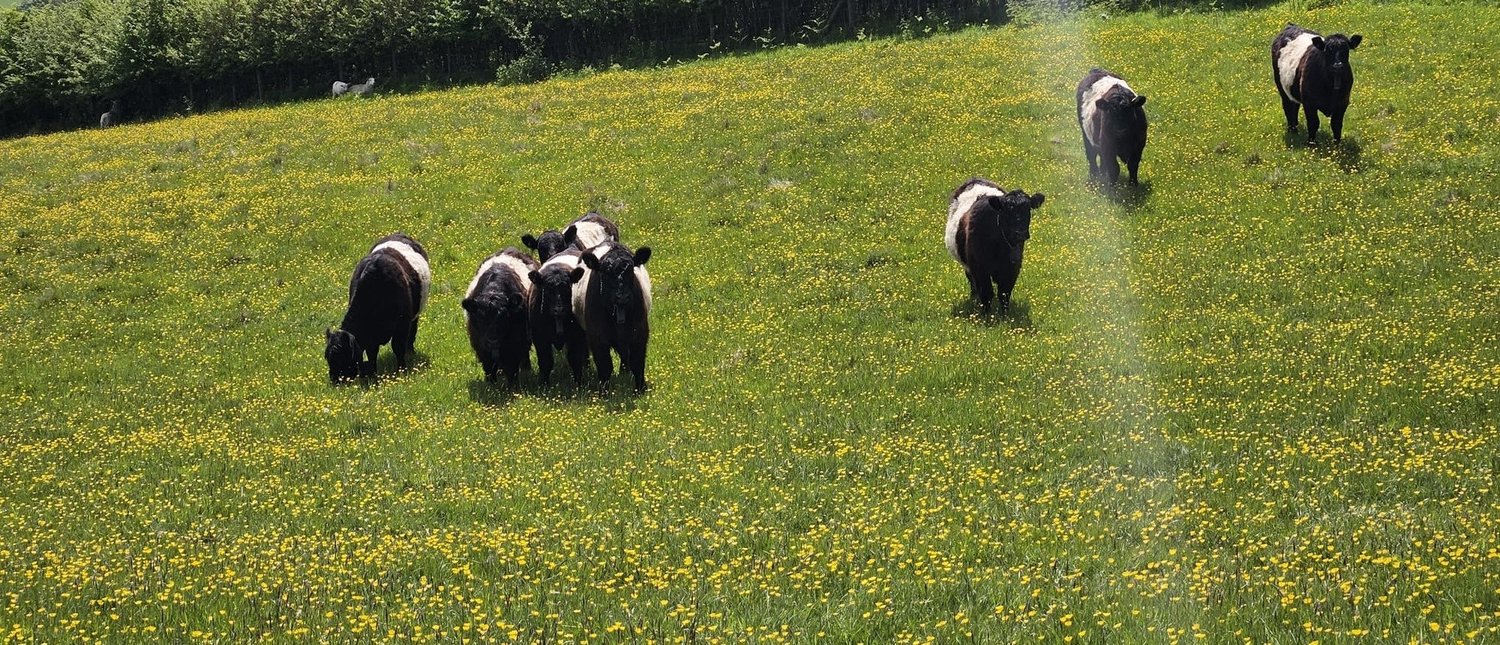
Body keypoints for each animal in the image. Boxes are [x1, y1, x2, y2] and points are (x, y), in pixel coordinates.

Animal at [325, 233, 431, 382]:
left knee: (412, 331)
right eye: (328, 358)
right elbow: (371, 353)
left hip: (415, 314)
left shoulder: (402, 323)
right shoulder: (371, 336)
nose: (335, 381)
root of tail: (399, 234)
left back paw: (410, 351)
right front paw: (373, 374)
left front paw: (401, 370)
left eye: (343, 357)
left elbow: (398, 346)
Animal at [463, 247, 539, 386]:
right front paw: (491, 386)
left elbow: (512, 368)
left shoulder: (515, 342)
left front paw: (512, 386)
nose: (492, 340)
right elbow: (489, 369)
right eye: (480, 318)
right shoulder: (481, 346)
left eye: (504, 317)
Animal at [527, 249, 590, 385]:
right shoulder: (540, 337)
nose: (559, 310)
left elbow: (575, 359)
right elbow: (545, 362)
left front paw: (578, 383)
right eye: (547, 290)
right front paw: (544, 384)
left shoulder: (576, 335)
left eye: (568, 289)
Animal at [578, 242, 652, 391]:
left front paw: (641, 389)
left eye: (631, 270)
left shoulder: (640, 333)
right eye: (605, 273)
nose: (622, 297)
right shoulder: (597, 337)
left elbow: (638, 362)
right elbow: (605, 366)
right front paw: (604, 392)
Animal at [945, 178, 1044, 314]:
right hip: (968, 265)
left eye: (1028, 209)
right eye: (1006, 212)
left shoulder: (1012, 267)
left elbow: (1004, 294)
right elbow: (986, 293)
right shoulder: (979, 268)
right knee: (972, 281)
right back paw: (974, 297)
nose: (1020, 233)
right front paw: (986, 316)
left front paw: (1005, 315)